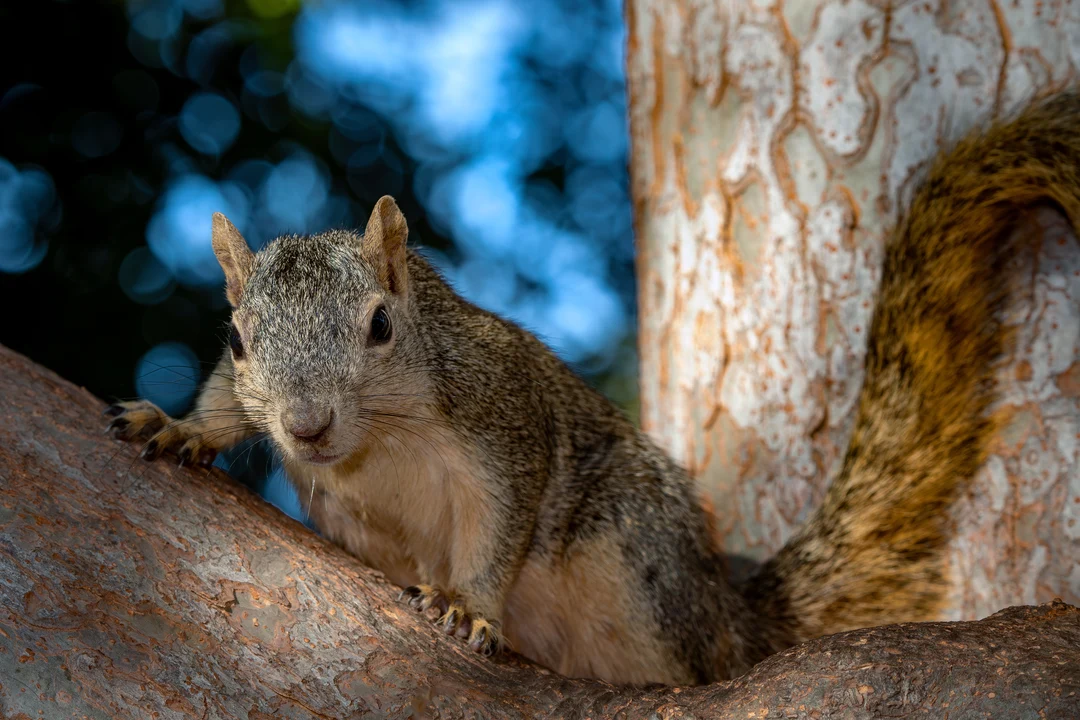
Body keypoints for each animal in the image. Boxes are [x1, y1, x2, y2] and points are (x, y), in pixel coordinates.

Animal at [105, 90, 1080, 686]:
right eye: (237, 338)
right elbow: (223, 407)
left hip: (635, 554)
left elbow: (501, 526)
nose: (306, 428)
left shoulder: (501, 419)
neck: (372, 449)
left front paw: (468, 606)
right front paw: (180, 429)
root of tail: (729, 614)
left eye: (380, 326)